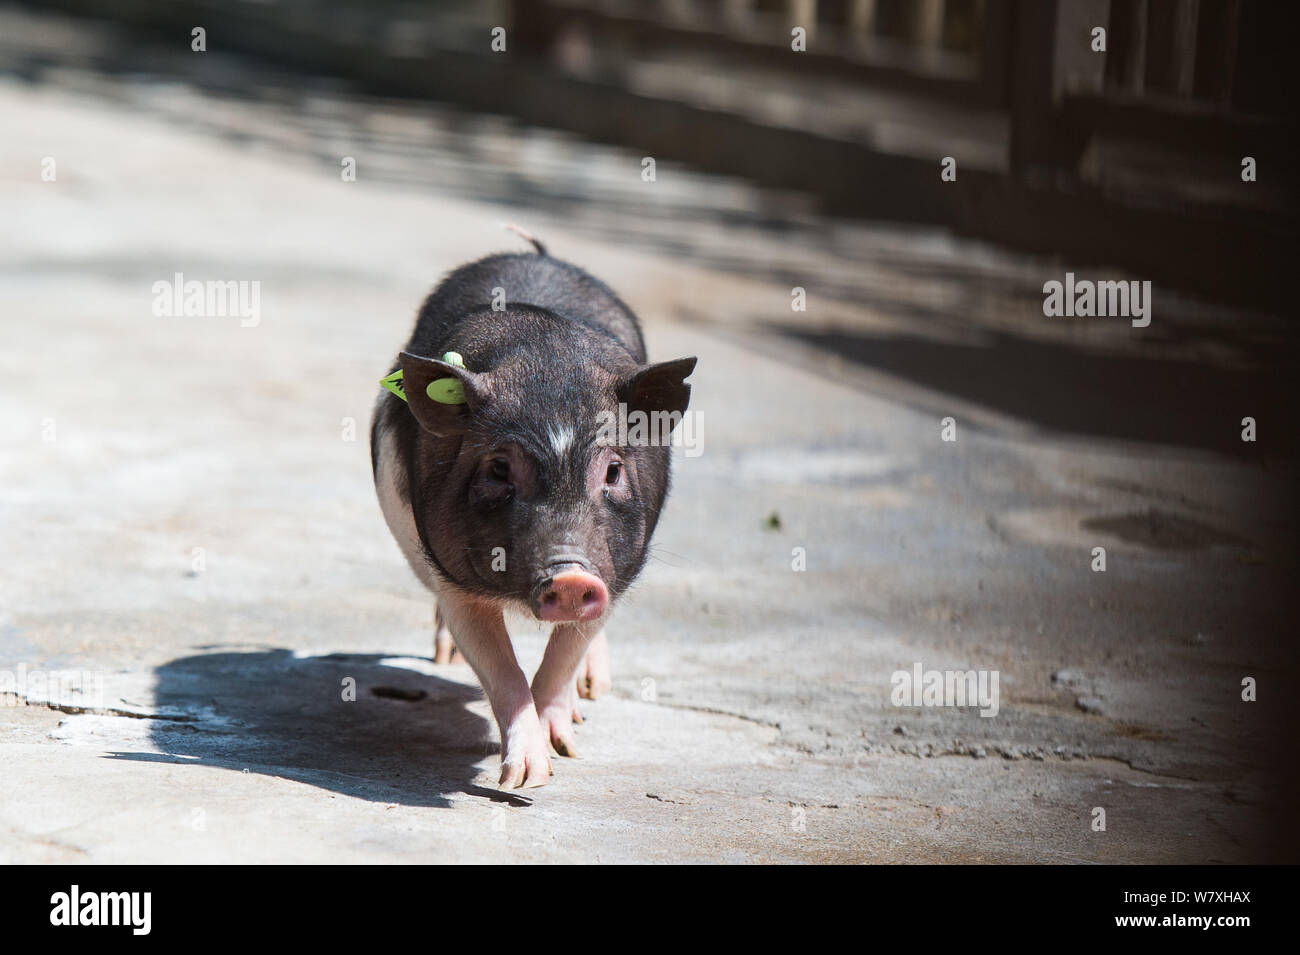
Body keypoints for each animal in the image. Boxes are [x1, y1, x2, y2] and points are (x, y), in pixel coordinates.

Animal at [370, 234, 696, 789]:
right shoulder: (454, 575)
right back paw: (443, 657)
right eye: (500, 468)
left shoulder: (615, 571)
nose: (569, 577)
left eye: (613, 471)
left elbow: (564, 655)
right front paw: (525, 780)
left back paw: (593, 694)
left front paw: (565, 749)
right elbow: (501, 667)